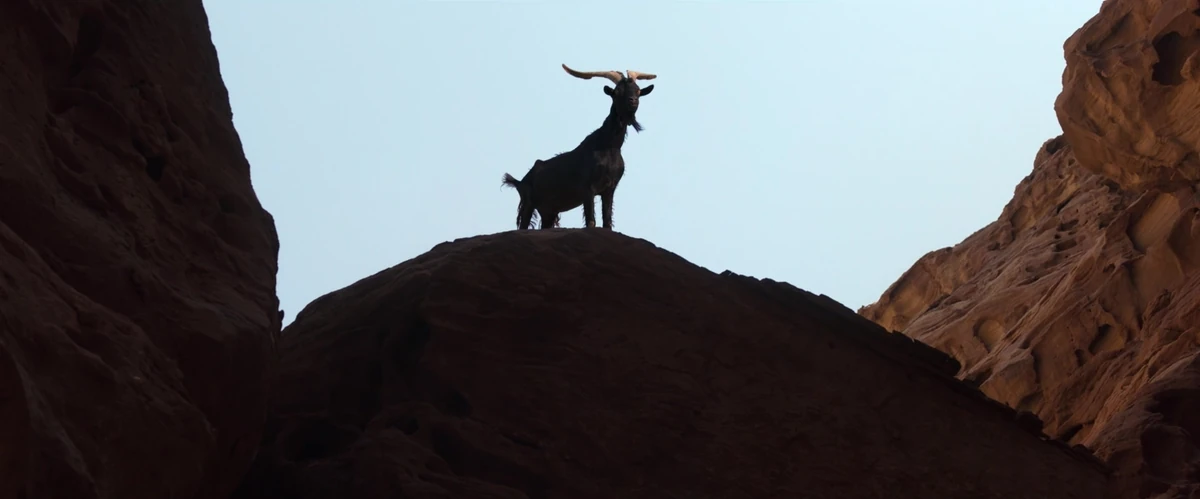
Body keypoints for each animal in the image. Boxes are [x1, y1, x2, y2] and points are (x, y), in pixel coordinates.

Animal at [502, 64, 656, 230]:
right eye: (617, 92)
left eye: (638, 91)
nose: (632, 101)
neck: (609, 147)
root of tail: (520, 181)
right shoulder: (588, 189)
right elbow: (591, 222)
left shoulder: (609, 189)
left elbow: (607, 222)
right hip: (528, 204)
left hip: (549, 211)